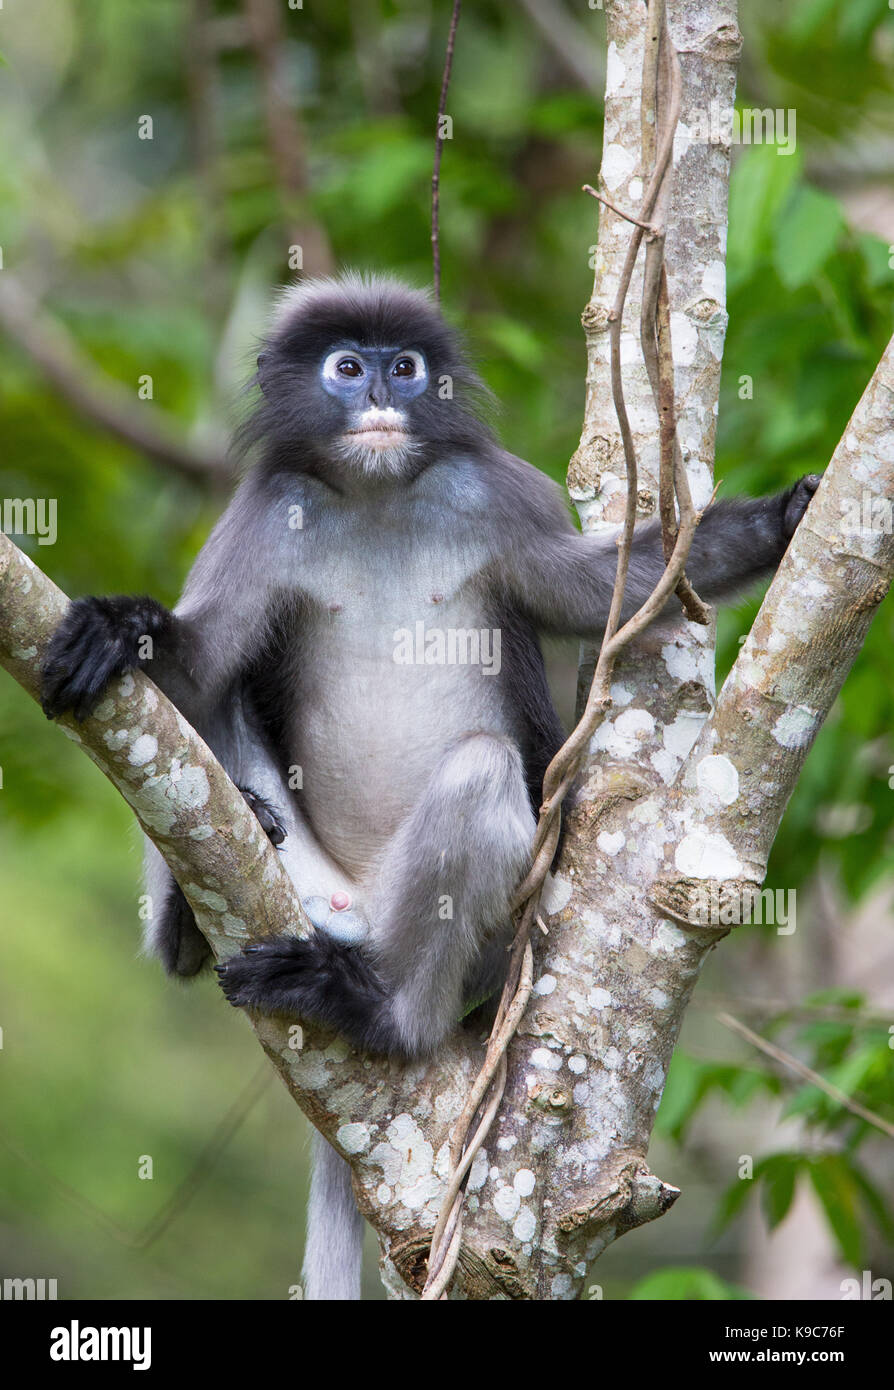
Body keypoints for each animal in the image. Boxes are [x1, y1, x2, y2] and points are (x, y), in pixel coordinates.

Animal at [40, 273, 821, 1297]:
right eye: (347, 367)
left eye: (404, 367)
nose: (380, 393)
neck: (377, 495)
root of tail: (360, 919)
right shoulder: (269, 508)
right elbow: (199, 664)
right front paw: (114, 626)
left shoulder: (496, 493)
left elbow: (613, 587)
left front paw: (789, 515)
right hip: (308, 884)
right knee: (217, 704)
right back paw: (190, 919)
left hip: (485, 947)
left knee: (480, 775)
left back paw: (382, 1016)